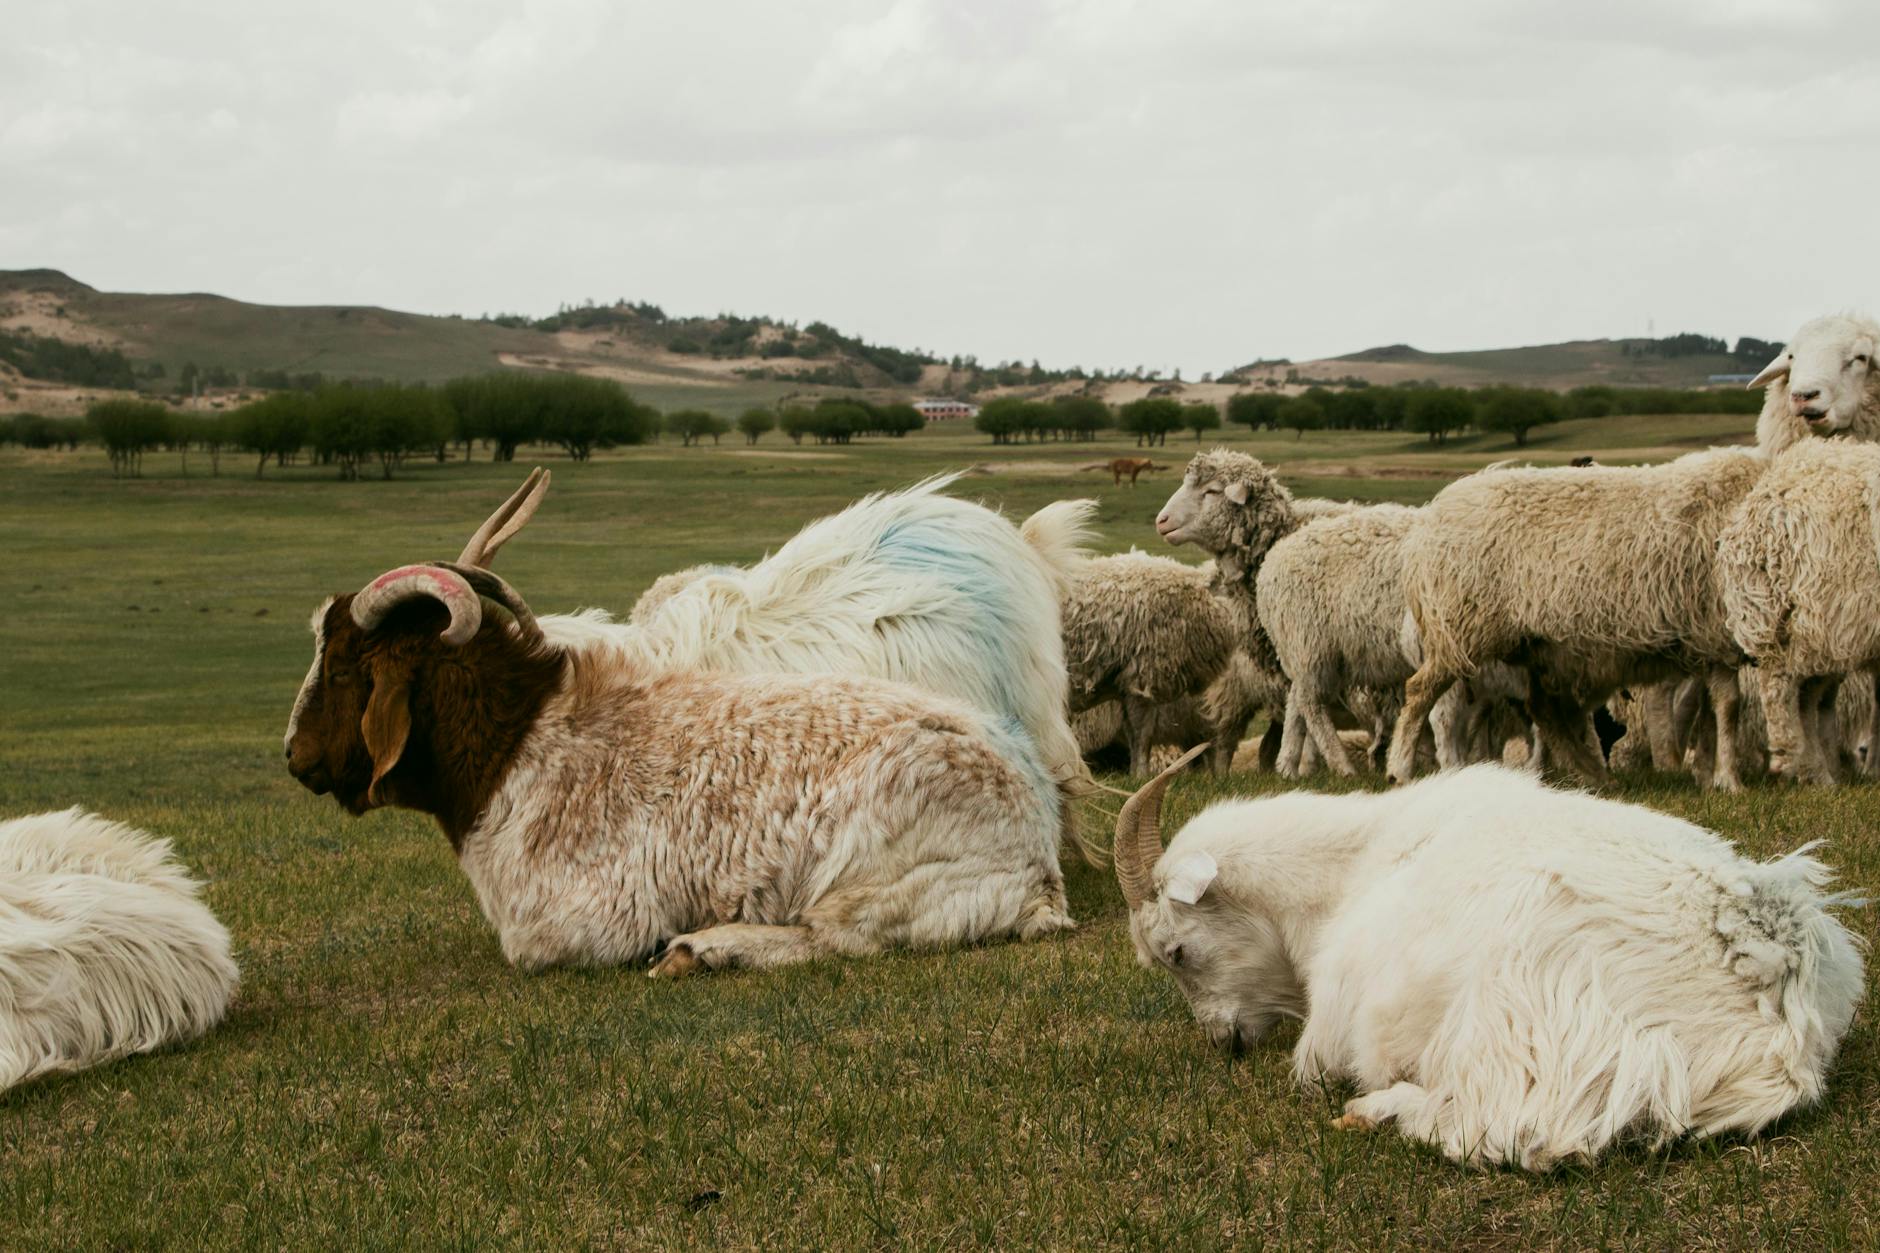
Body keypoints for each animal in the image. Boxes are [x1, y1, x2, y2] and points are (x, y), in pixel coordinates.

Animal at [284, 562, 1073, 973]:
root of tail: (1040, 862)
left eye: (346, 666)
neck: (521, 744)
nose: (294, 758)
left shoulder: (578, 926)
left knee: (836, 934)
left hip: (883, 874)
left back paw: (704, 948)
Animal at [1110, 750, 1865, 1170]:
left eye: (1176, 951)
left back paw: (1376, 1108)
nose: (1223, 1041)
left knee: (1508, 1135)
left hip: (1520, 1027)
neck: (1356, 866)